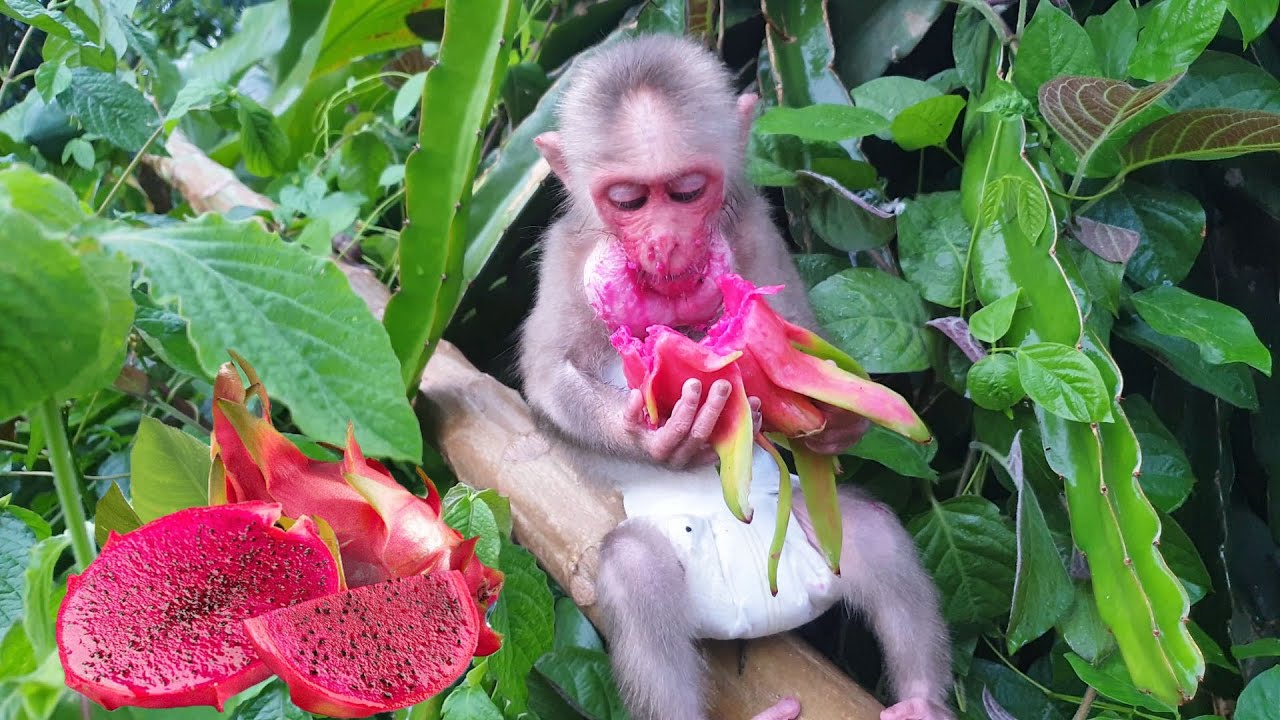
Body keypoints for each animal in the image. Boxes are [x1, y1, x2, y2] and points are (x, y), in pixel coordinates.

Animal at [517, 34, 954, 720]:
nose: (666, 244)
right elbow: (545, 375)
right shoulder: (566, 254)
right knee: (635, 573)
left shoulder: (753, 224)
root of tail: (763, 610)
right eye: (629, 200)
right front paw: (653, 435)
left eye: (687, 191)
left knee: (870, 529)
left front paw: (840, 421)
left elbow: (797, 324)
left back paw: (919, 699)